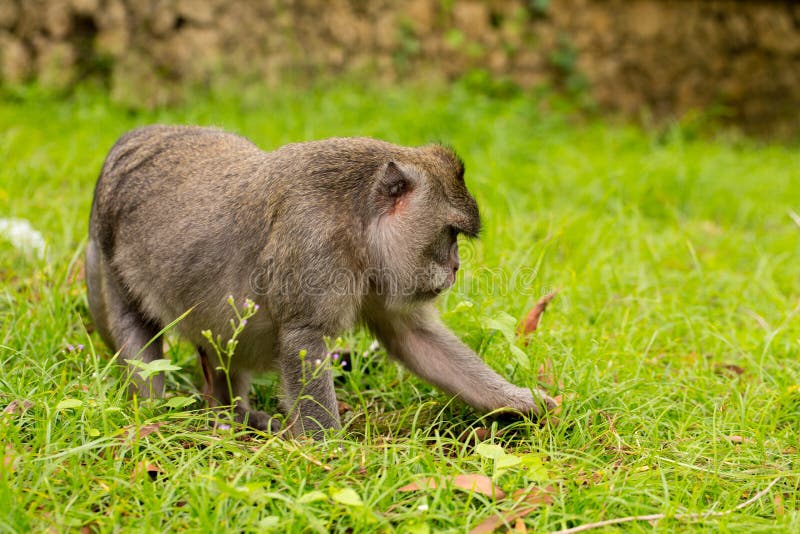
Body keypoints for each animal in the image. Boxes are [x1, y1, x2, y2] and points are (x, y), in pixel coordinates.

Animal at [86, 125, 556, 437]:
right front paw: (331, 454)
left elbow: (414, 338)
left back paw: (234, 415)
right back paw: (158, 413)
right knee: (140, 333)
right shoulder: (313, 246)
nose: (456, 266)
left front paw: (518, 400)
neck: (355, 219)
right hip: (111, 260)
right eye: (450, 234)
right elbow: (304, 337)